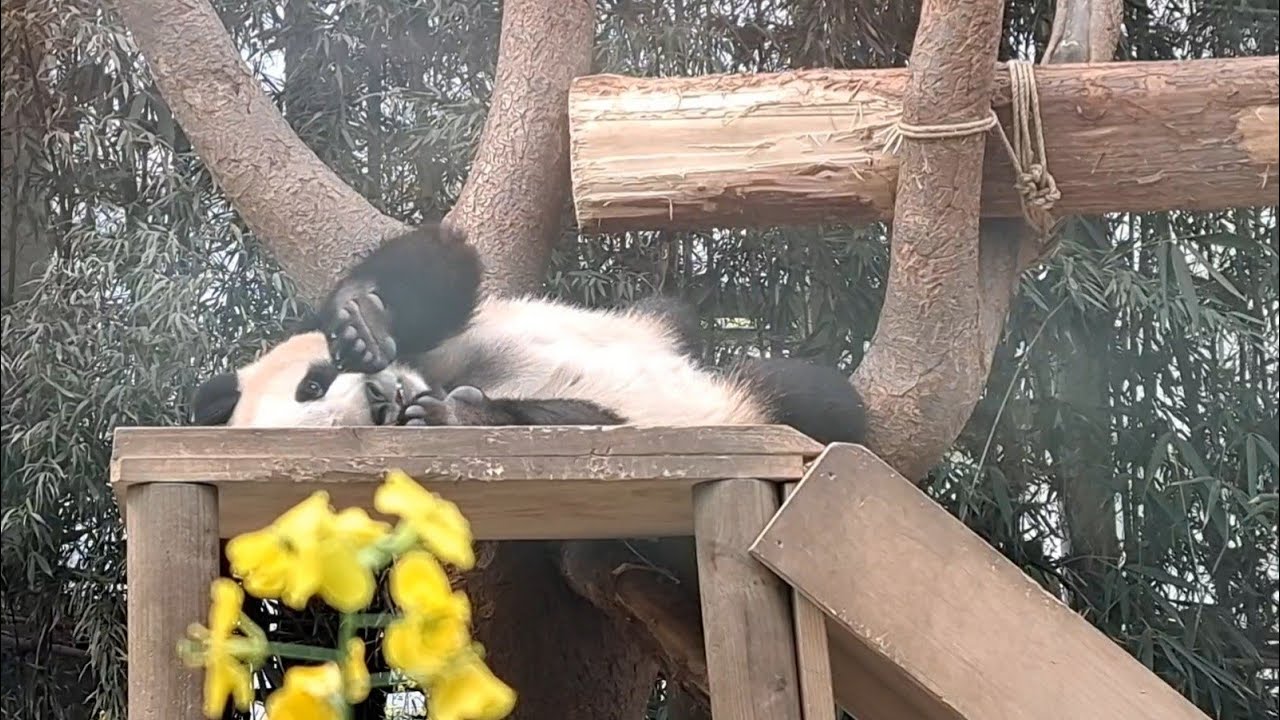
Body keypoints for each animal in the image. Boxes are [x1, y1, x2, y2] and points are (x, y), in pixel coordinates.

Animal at [191, 222, 866, 445]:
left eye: (312, 384)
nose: (383, 401)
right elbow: (600, 424)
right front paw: (455, 416)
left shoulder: (440, 341)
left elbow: (444, 263)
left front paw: (360, 321)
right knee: (809, 400)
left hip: (659, 327)